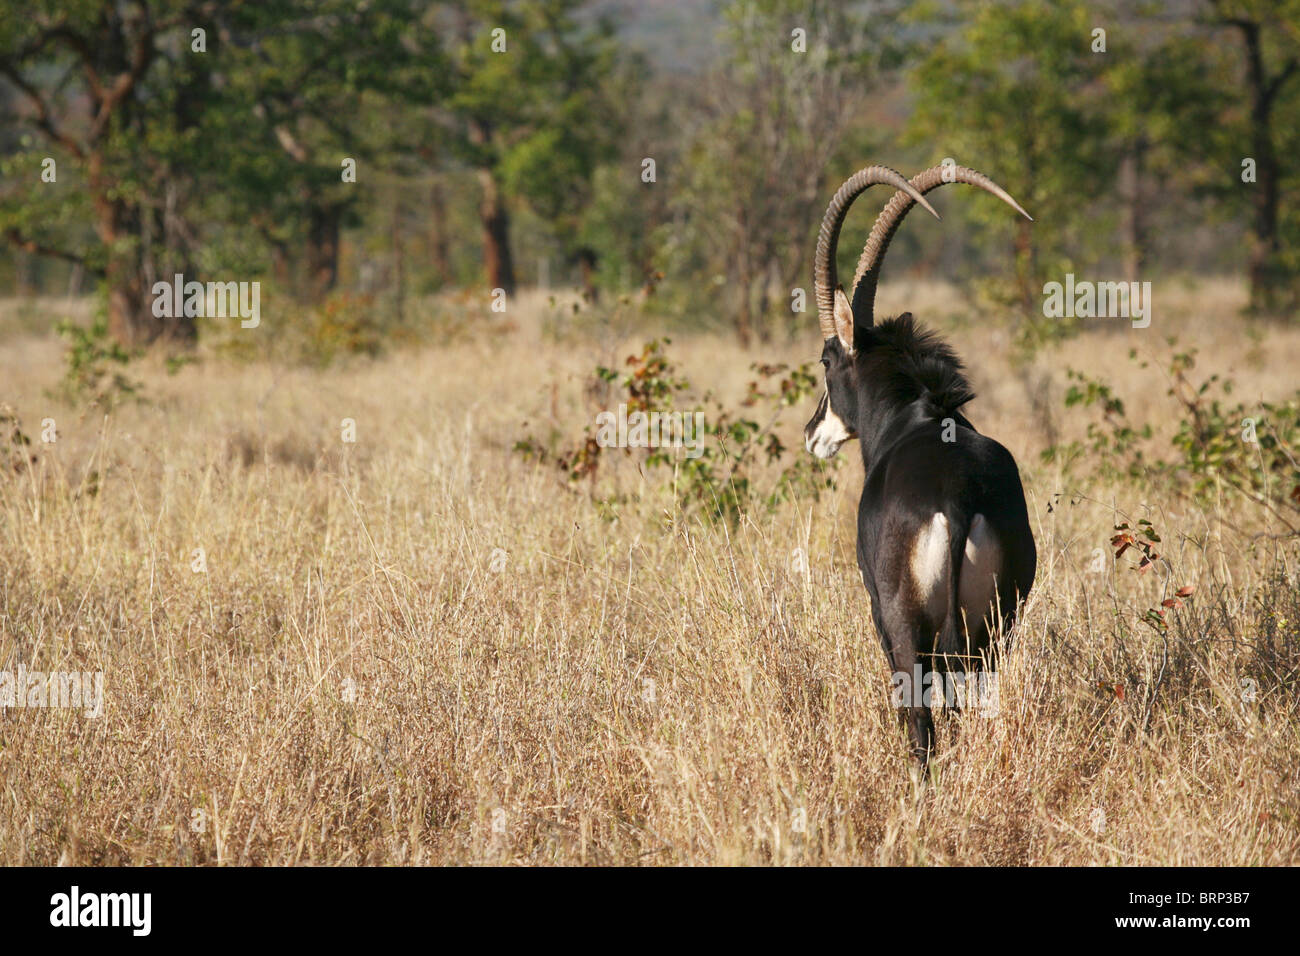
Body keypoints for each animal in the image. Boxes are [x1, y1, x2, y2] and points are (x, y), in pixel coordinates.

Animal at [803, 163, 1037, 767]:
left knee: (921, 720)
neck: (915, 416)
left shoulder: (876, 609)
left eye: (826, 361)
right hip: (998, 626)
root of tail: (956, 500)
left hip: (905, 624)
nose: (812, 434)